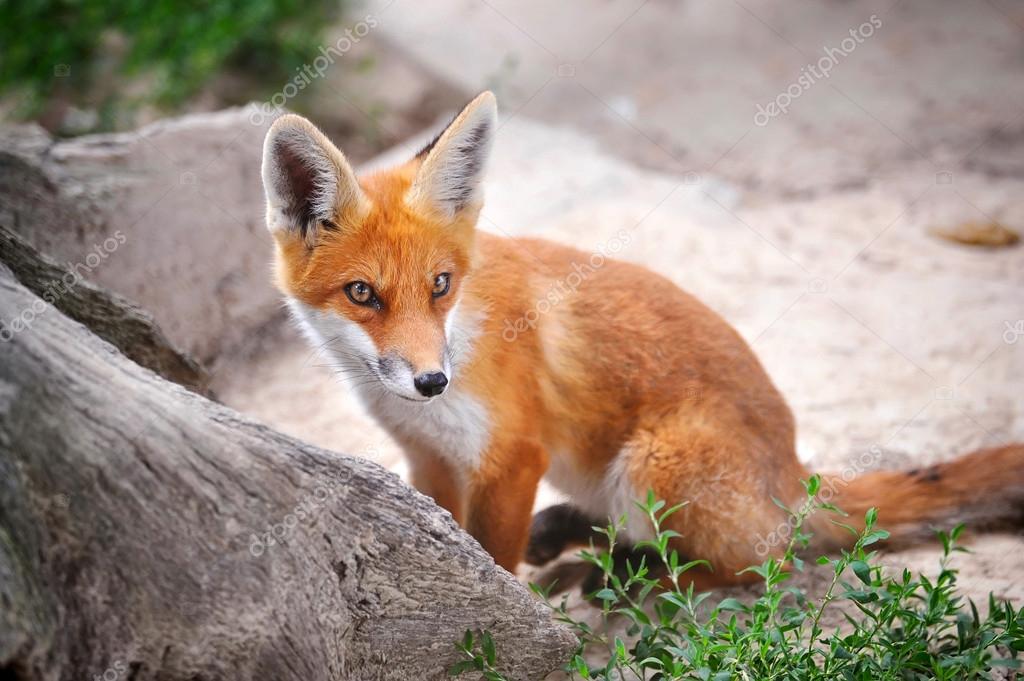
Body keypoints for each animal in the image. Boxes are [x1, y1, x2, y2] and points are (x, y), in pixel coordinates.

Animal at [260, 91, 1024, 588]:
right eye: (363, 294)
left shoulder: (513, 456)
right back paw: (579, 542)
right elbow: (454, 543)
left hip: (654, 463)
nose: (431, 381)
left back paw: (626, 578)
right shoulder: (431, 462)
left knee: (753, 569)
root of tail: (793, 471)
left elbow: (495, 559)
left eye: (441, 284)